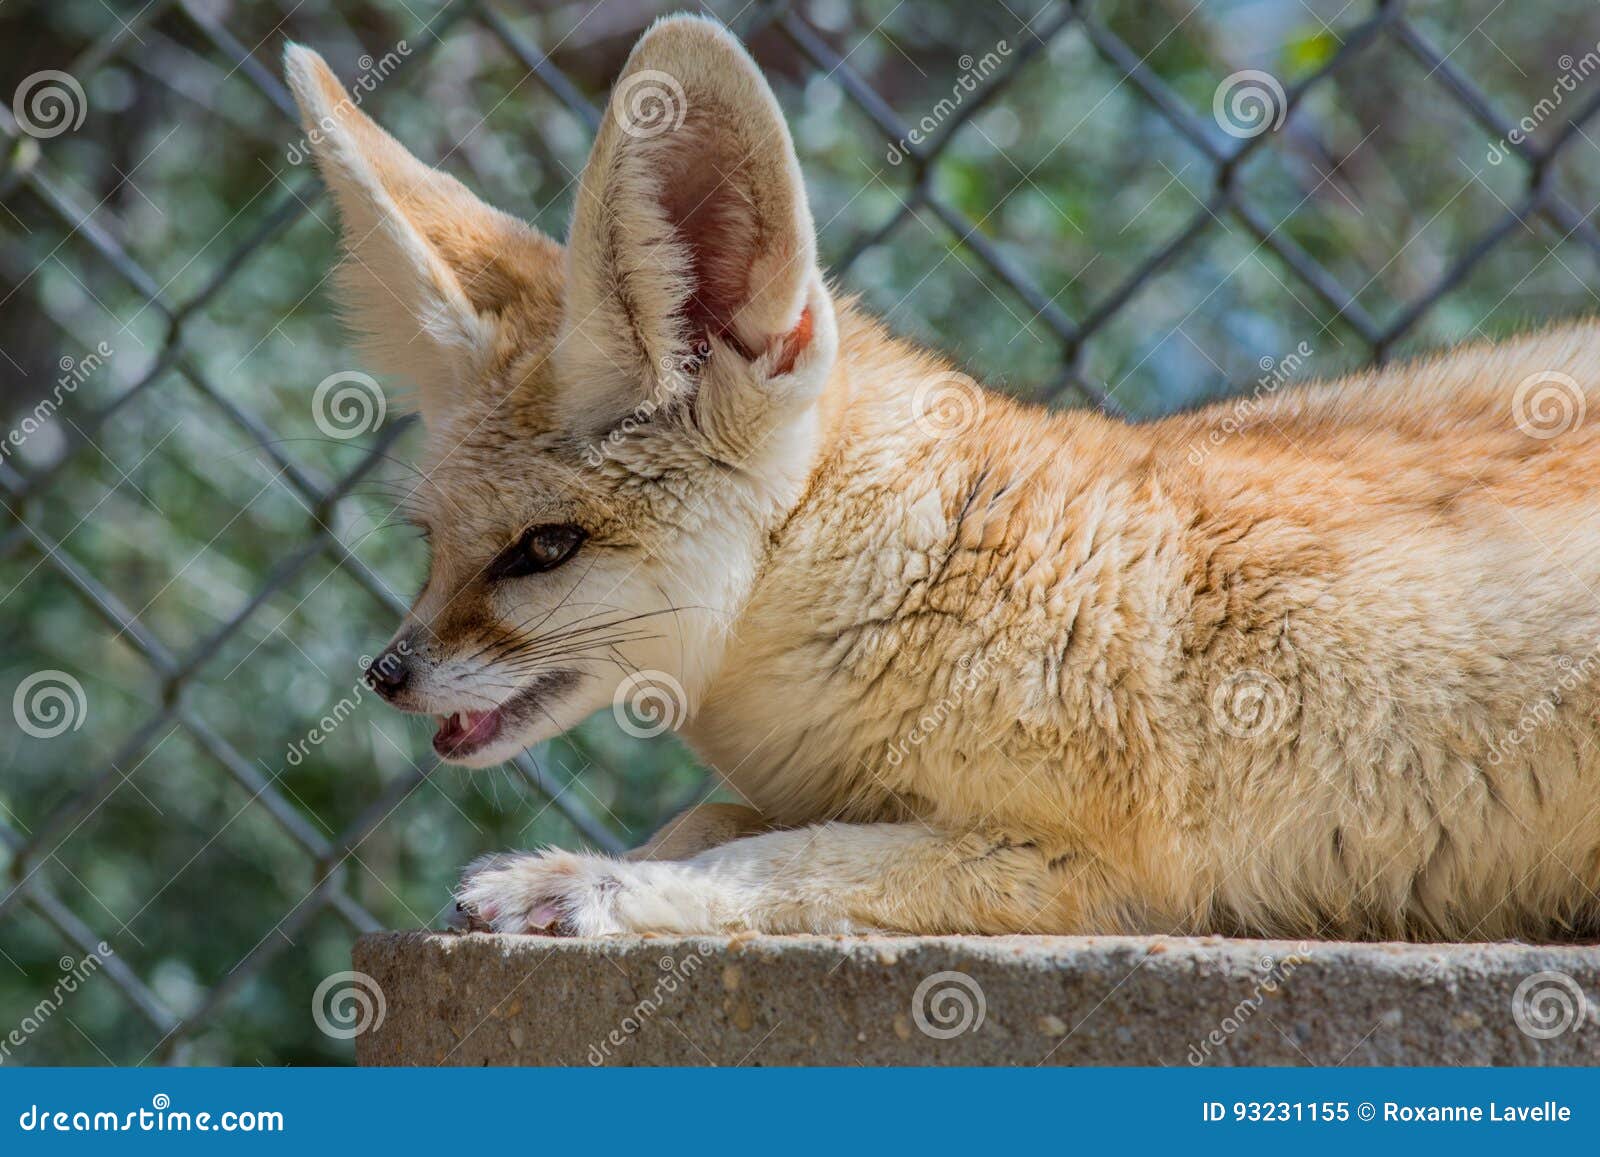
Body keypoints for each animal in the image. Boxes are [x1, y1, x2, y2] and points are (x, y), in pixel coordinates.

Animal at [286, 15, 1600, 942]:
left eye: (545, 548)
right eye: (431, 545)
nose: (385, 674)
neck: (933, 580)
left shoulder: (1067, 860)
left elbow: (769, 857)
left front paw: (585, 881)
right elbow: (711, 820)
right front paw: (611, 859)